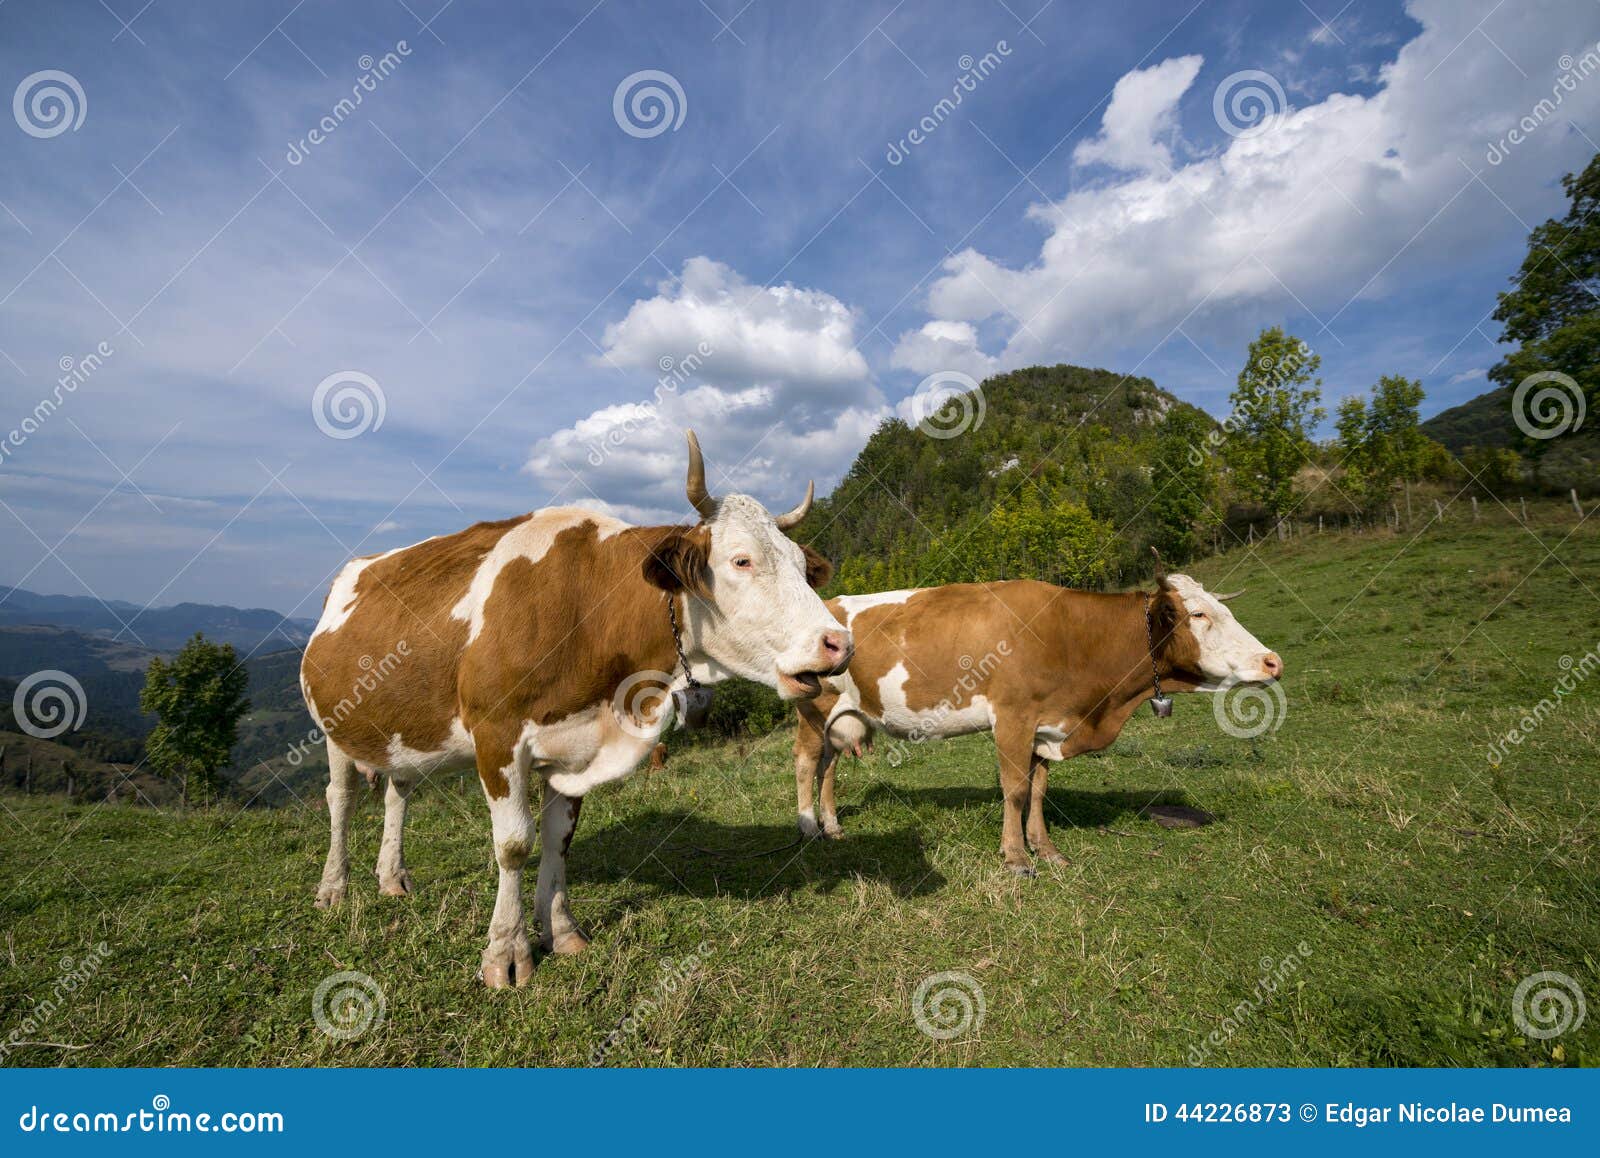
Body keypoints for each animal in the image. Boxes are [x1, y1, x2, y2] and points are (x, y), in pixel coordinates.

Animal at [302, 432, 852, 986]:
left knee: (398, 793)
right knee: (340, 800)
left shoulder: (575, 745)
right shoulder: (497, 736)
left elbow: (557, 839)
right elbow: (514, 844)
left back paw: (393, 877)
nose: (839, 643)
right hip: (334, 727)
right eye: (741, 561)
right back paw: (333, 888)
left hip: (403, 732)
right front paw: (506, 952)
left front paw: (562, 931)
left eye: (802, 568)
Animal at [792, 556, 1281, 875]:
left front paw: (1045, 848)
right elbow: (1014, 789)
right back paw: (810, 829)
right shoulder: (1013, 717)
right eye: (1198, 614)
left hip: (844, 716)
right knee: (805, 763)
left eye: (1225, 609)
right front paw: (1015, 857)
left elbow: (1039, 791)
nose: (1273, 661)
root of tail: (827, 604)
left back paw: (834, 827)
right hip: (813, 711)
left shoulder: (1048, 725)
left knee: (829, 765)